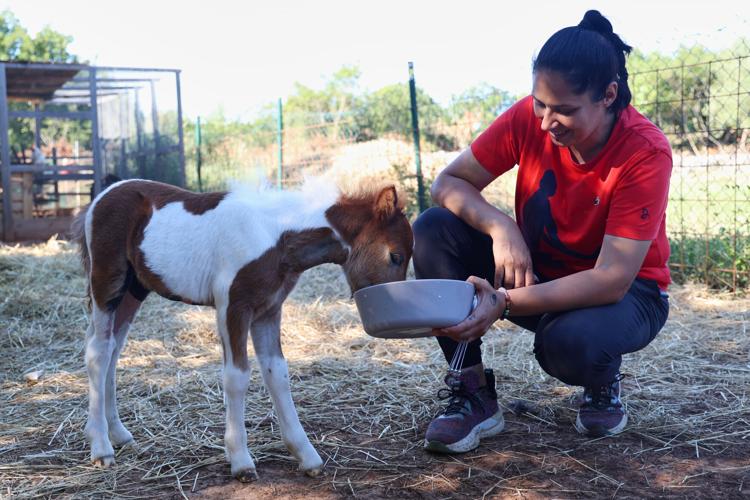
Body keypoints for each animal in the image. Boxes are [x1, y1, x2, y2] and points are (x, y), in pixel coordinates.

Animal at [72, 177, 413, 481]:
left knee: (113, 350)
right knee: (98, 352)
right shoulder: (233, 307)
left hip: (134, 290)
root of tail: (101, 196)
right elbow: (237, 376)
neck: (276, 235)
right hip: (108, 282)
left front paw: (306, 455)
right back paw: (101, 447)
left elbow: (278, 374)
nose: (394, 303)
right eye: (395, 255)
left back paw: (119, 434)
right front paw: (241, 461)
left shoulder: (269, 311)